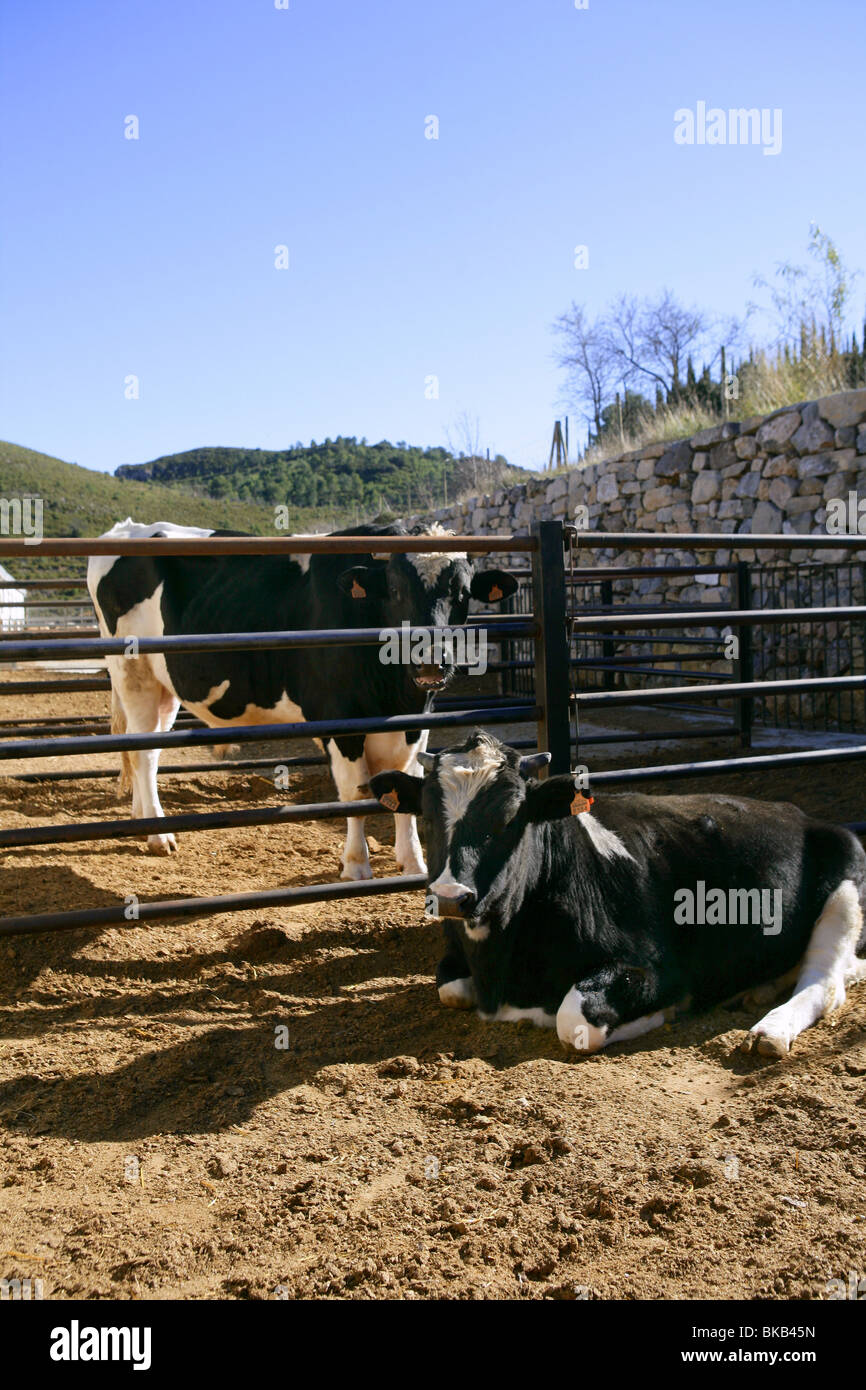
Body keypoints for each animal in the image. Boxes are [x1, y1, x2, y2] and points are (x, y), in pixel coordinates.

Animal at [86, 521, 517, 880]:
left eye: (462, 594)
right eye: (395, 591)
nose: (431, 659)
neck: (394, 696)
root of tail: (126, 529)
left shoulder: (416, 721)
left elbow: (406, 782)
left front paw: (413, 862)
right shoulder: (340, 719)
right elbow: (356, 792)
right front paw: (356, 865)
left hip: (164, 686)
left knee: (149, 750)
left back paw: (144, 818)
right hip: (132, 673)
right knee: (142, 753)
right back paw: (159, 835)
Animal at [369, 730, 866, 1057]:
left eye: (510, 817)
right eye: (426, 816)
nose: (450, 896)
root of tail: (800, 814)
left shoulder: (660, 968)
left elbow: (573, 1020)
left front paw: (659, 1016)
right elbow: (450, 989)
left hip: (845, 888)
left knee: (825, 983)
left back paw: (771, 1030)